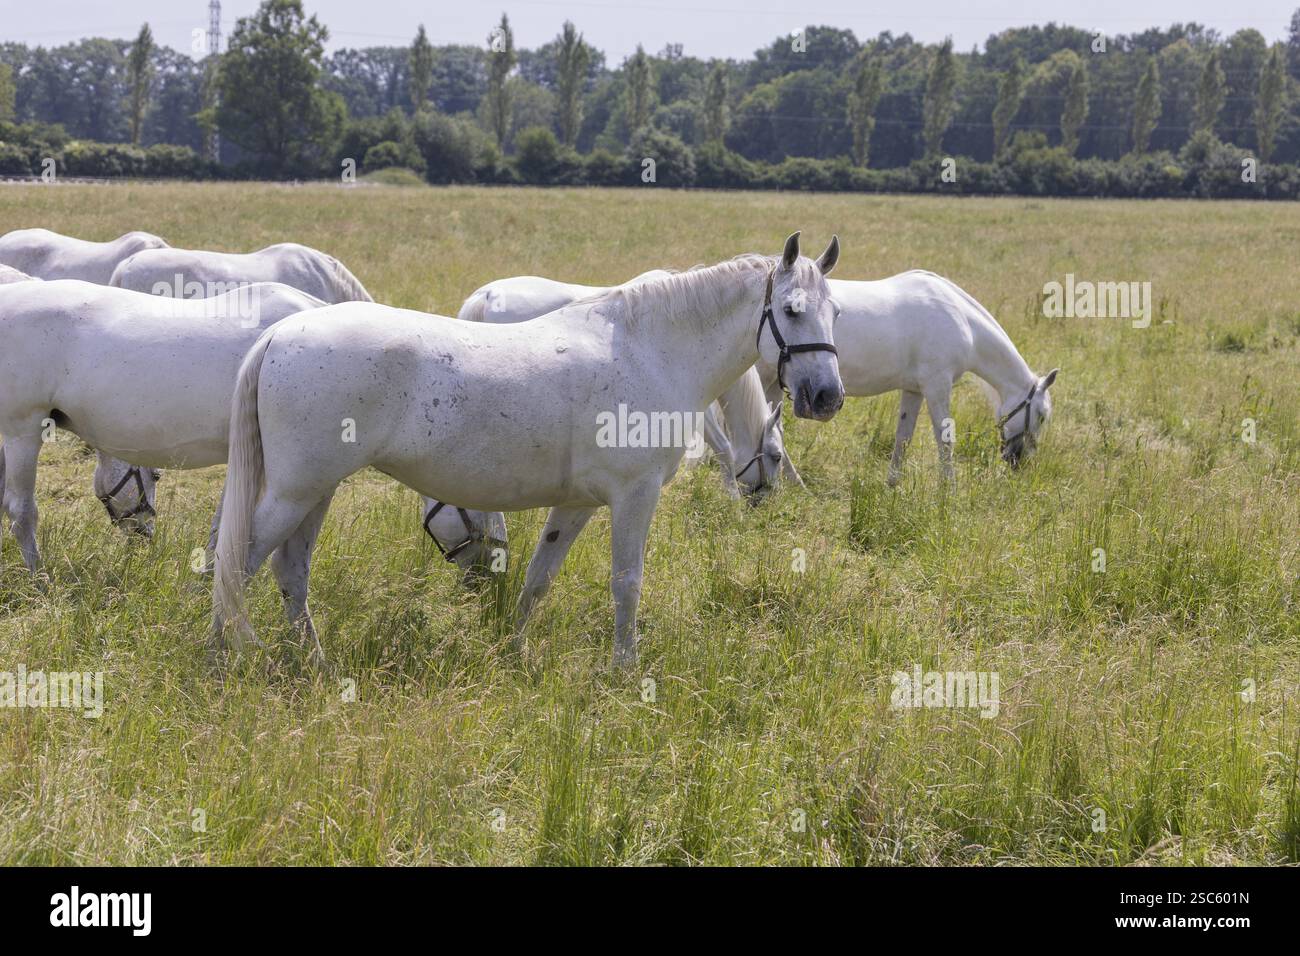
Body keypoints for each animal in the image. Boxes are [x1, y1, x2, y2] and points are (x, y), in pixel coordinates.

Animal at [754, 270, 1058, 483]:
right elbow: (945, 439)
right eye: (1042, 416)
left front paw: (893, 484)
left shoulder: (914, 390)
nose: (1020, 461)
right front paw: (949, 490)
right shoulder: (937, 386)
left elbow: (903, 438)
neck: (961, 318)